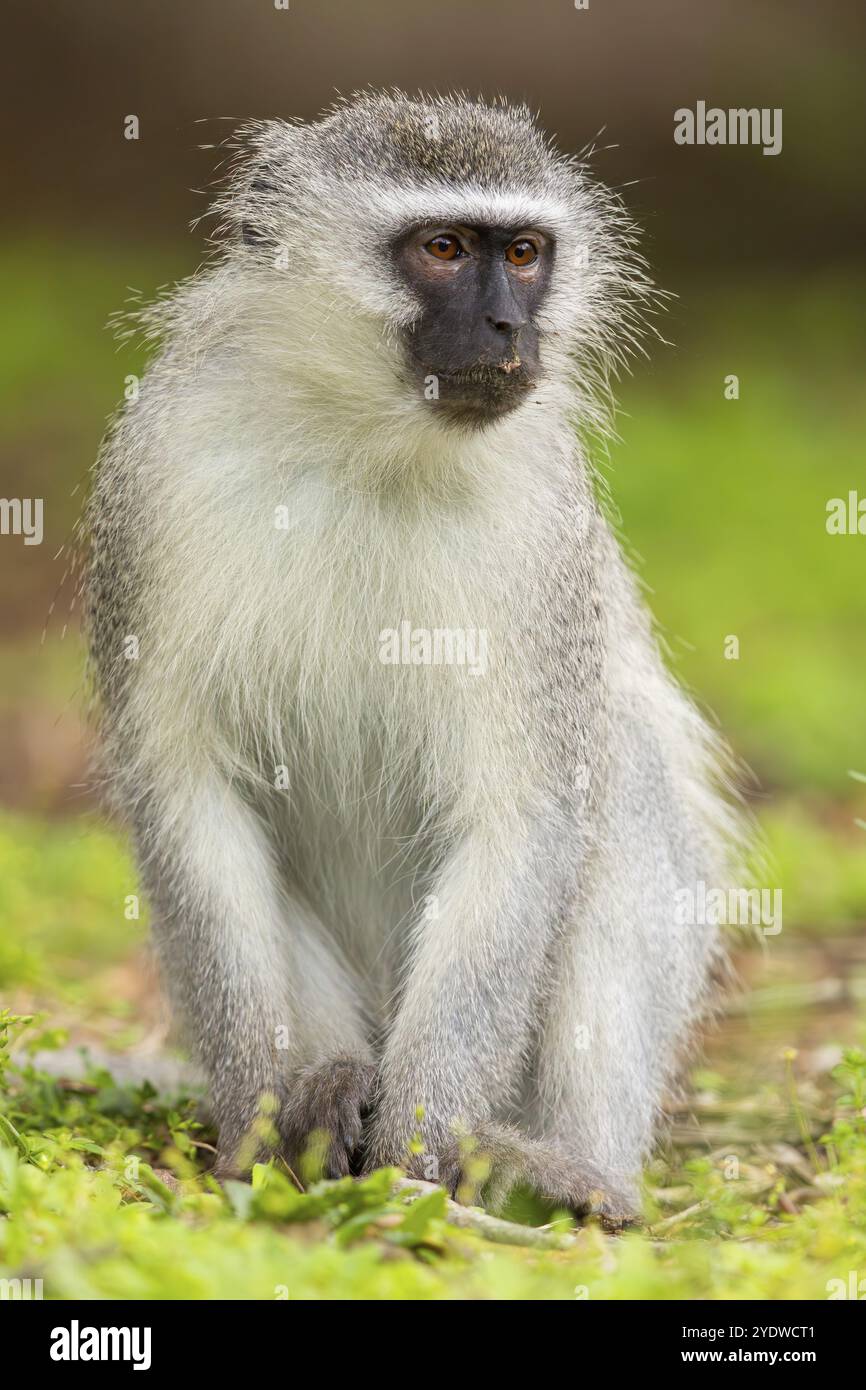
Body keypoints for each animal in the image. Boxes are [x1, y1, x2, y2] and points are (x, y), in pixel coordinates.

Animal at [84, 91, 745, 1222]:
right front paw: (256, 1128)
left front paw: (413, 1158)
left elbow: (524, 818)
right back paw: (326, 1096)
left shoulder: (541, 531)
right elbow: (187, 790)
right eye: (441, 249)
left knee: (618, 777)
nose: (509, 327)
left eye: (522, 253)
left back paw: (561, 1176)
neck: (368, 444)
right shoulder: (160, 477)